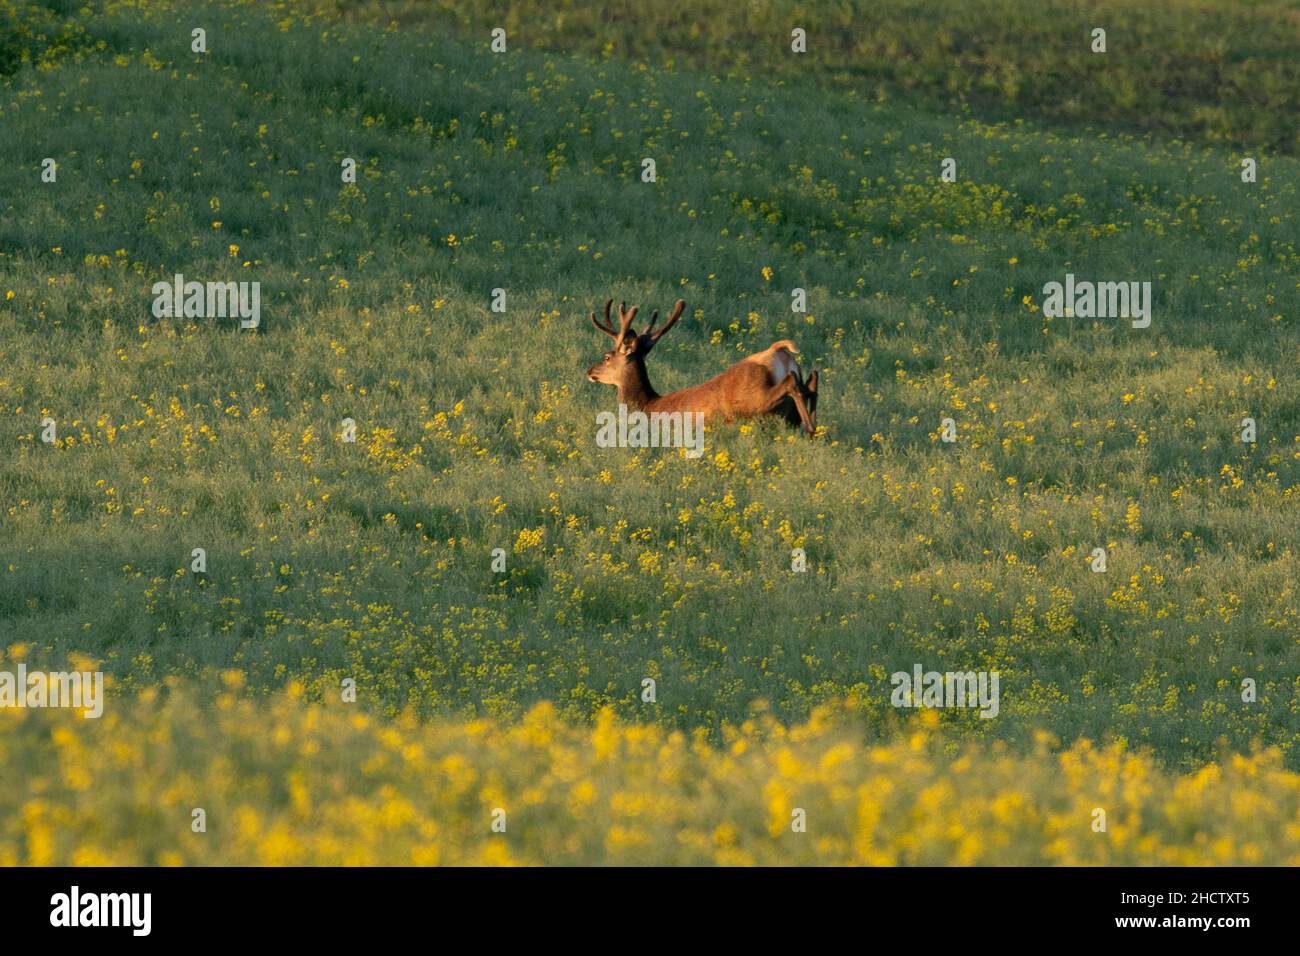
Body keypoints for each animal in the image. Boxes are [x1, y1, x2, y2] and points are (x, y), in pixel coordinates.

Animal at [586, 299, 819, 434]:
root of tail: (777, 351)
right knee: (812, 381)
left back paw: (810, 427)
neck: (647, 405)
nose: (590, 371)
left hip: (753, 399)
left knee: (791, 384)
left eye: (607, 357)